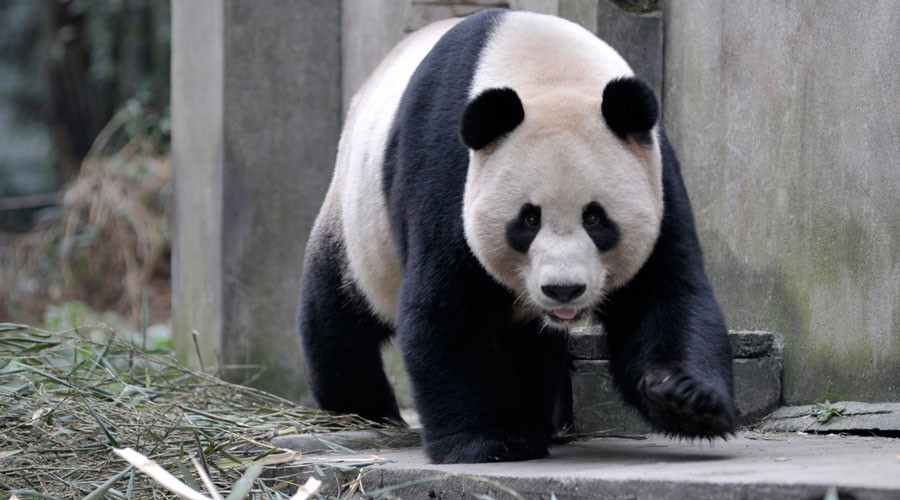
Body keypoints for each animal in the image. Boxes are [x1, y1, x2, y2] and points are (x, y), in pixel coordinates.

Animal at [298, 9, 735, 464]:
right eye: (528, 219)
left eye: (595, 218)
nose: (563, 289)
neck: (549, 72)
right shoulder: (448, 169)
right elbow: (448, 306)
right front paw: (485, 441)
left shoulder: (656, 174)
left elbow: (662, 293)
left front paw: (686, 400)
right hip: (358, 225)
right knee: (337, 314)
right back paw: (362, 410)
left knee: (531, 346)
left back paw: (539, 422)